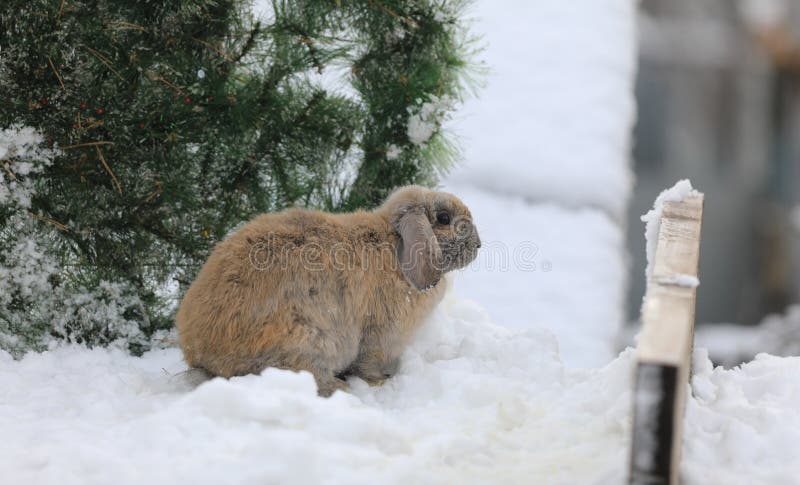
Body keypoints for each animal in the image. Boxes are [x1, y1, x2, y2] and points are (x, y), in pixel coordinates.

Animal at [175, 185, 481, 396]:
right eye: (444, 218)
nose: (478, 245)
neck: (393, 243)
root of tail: (202, 354)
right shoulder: (380, 336)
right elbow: (369, 363)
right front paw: (380, 382)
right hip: (309, 339)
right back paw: (340, 388)